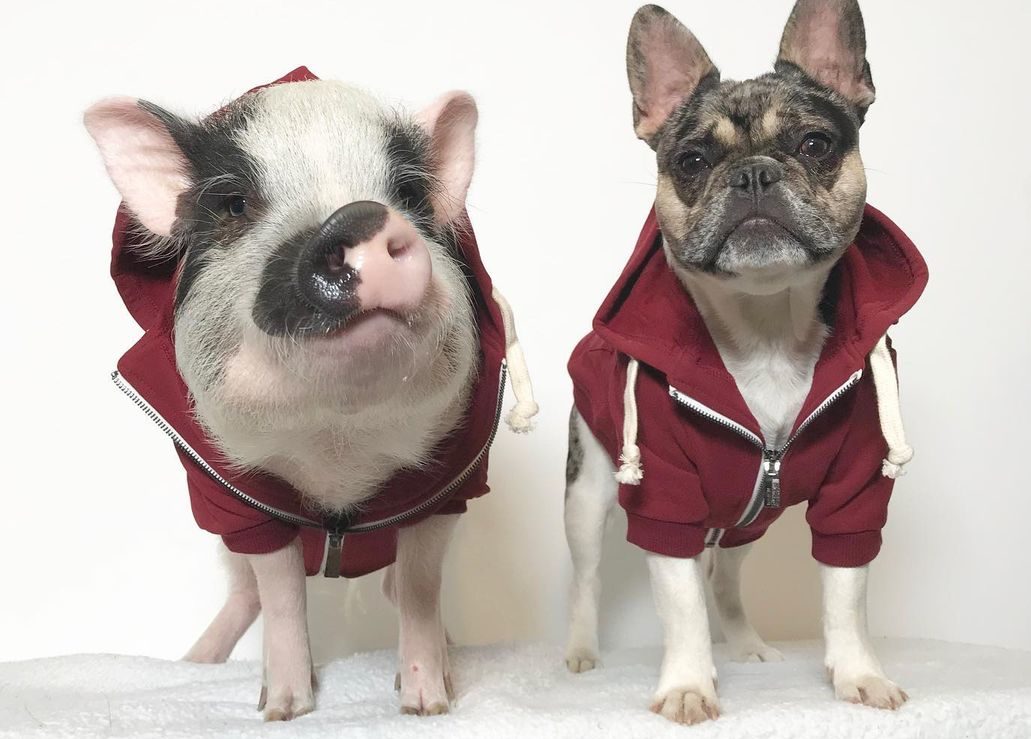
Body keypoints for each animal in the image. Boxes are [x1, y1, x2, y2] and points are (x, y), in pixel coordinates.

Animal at [84, 67, 537, 720]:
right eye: (233, 203)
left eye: (409, 194)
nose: (358, 217)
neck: (336, 439)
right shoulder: (236, 503)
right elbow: (280, 592)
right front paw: (283, 710)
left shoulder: (448, 487)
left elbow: (421, 585)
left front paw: (427, 705)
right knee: (247, 595)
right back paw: (197, 665)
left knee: (394, 584)